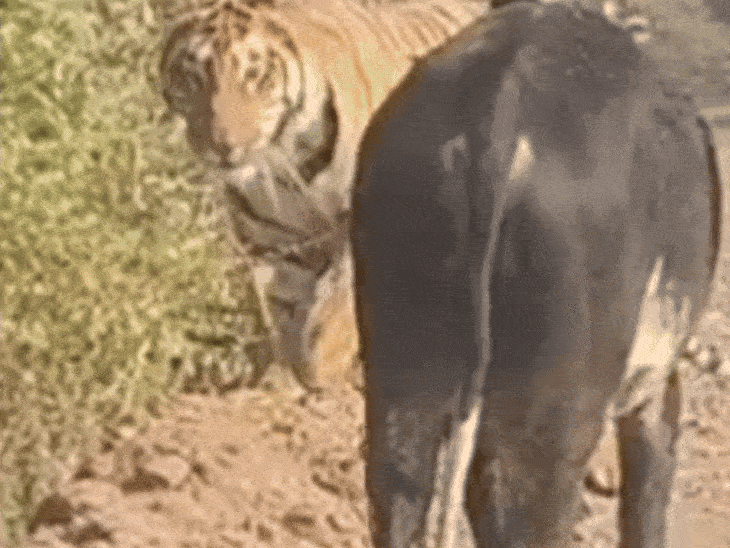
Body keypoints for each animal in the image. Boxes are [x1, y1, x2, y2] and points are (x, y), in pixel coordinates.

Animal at [159, 0, 489, 390]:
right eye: (192, 76)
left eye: (256, 76)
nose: (223, 146)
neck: (286, 162)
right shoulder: (274, 240)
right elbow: (284, 311)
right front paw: (284, 378)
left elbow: (336, 306)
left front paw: (322, 368)